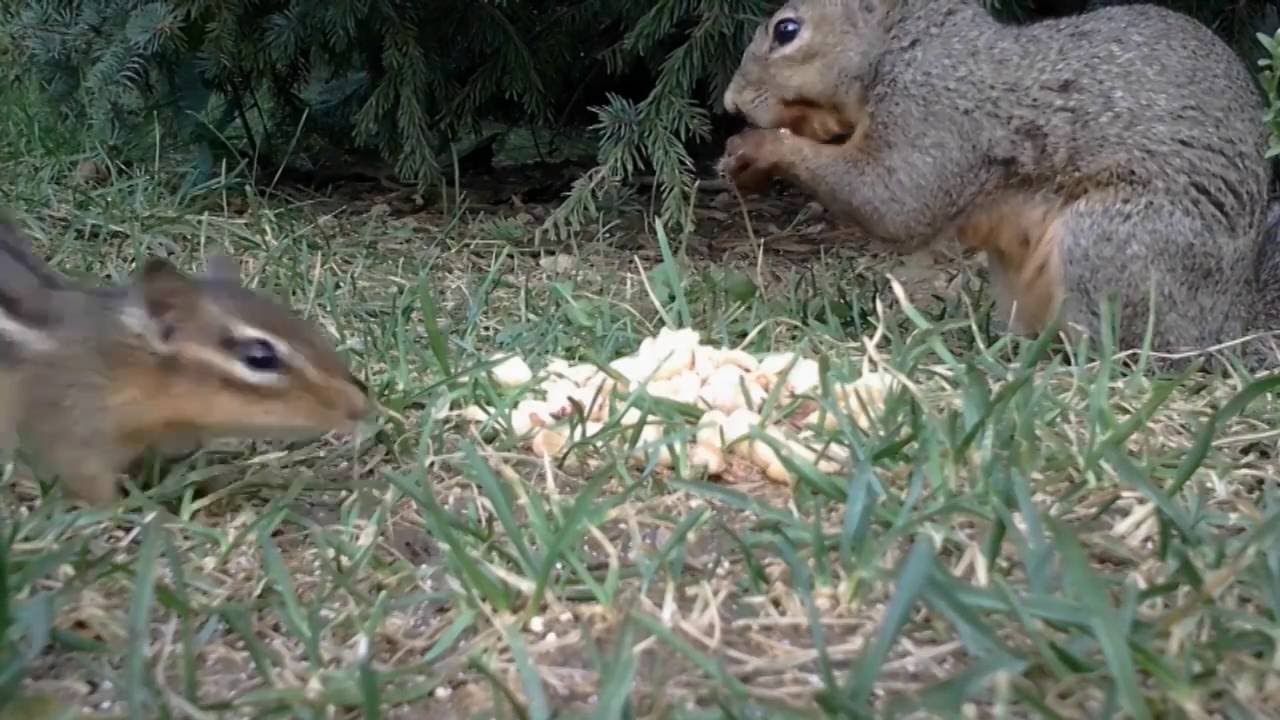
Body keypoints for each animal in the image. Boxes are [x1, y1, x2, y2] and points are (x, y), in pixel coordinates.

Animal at [718, 0, 1277, 368]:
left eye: (787, 30)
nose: (729, 101)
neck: (903, 42)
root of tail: (1226, 326)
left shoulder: (938, 109)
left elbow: (897, 201)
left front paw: (764, 147)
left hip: (1112, 245)